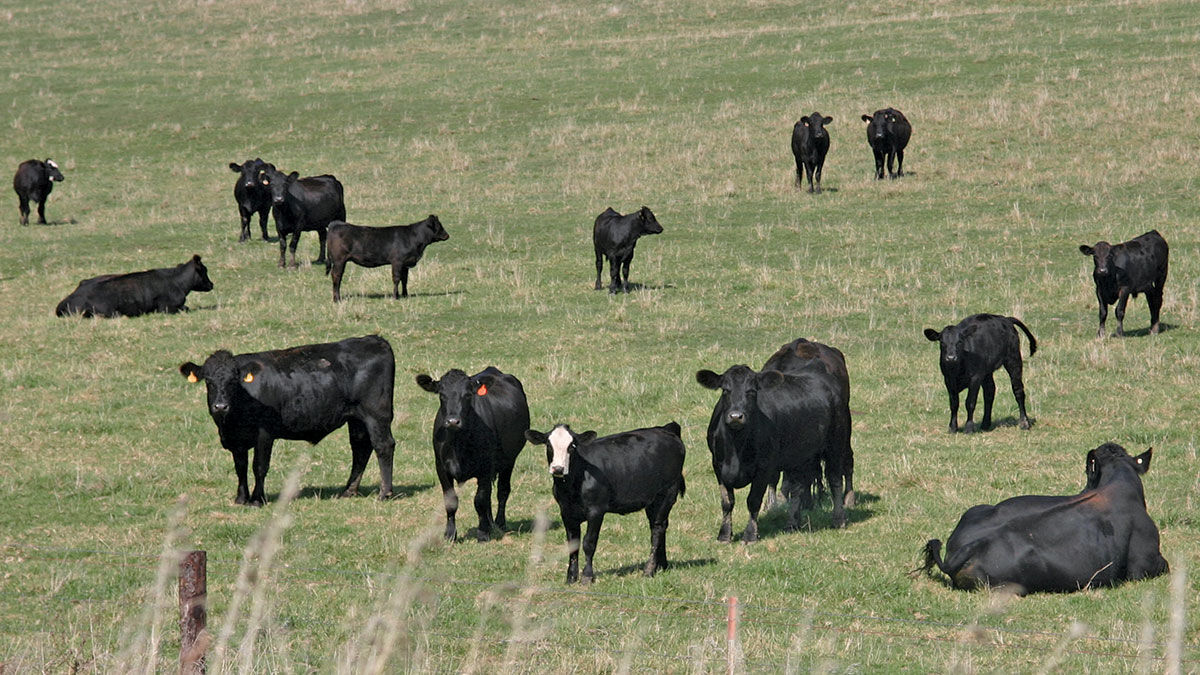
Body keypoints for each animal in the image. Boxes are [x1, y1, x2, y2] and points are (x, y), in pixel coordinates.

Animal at [179, 335, 396, 506]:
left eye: (233, 381)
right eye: (208, 381)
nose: (220, 406)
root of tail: (374, 339)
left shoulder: (264, 433)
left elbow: (259, 466)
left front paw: (257, 500)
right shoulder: (236, 440)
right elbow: (240, 467)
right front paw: (241, 498)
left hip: (377, 415)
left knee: (383, 446)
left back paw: (385, 493)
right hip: (357, 418)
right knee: (360, 448)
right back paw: (348, 491)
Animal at [415, 367, 530, 542]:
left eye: (468, 395)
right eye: (442, 395)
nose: (453, 421)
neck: (458, 444)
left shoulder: (485, 467)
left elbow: (480, 500)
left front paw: (482, 533)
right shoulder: (441, 467)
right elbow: (451, 502)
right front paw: (450, 534)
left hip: (509, 460)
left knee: (502, 491)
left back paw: (499, 523)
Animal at [525, 422, 686, 583]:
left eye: (572, 446)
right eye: (548, 445)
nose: (558, 468)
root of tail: (665, 428)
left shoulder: (596, 510)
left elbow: (589, 543)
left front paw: (587, 576)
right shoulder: (566, 511)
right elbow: (573, 544)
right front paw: (571, 578)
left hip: (667, 493)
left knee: (657, 529)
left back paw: (649, 570)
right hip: (652, 500)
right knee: (658, 525)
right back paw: (662, 565)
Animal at [696, 355, 852, 544]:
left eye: (752, 391)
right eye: (725, 390)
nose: (735, 416)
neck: (736, 448)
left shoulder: (764, 467)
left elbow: (753, 501)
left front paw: (750, 535)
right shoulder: (718, 466)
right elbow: (727, 502)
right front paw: (724, 535)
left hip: (836, 443)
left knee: (835, 479)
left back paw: (839, 519)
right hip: (800, 455)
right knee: (798, 488)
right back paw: (792, 523)